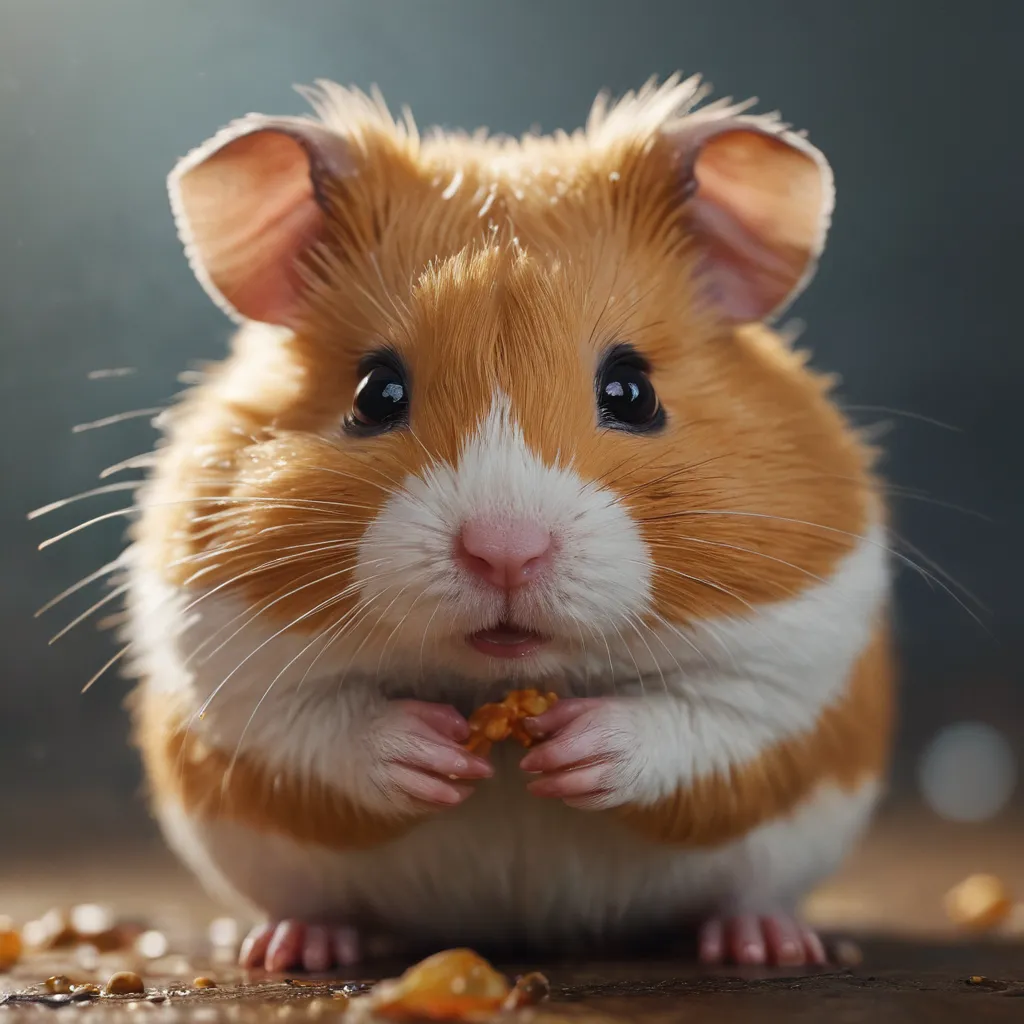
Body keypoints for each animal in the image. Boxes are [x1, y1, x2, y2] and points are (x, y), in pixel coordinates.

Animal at [122, 75, 893, 972]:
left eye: (633, 392)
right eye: (375, 395)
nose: (504, 553)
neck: (502, 680)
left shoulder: (795, 660)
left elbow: (698, 721)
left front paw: (573, 750)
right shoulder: (223, 665)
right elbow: (323, 731)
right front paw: (428, 753)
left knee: (748, 890)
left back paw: (768, 946)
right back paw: (292, 948)